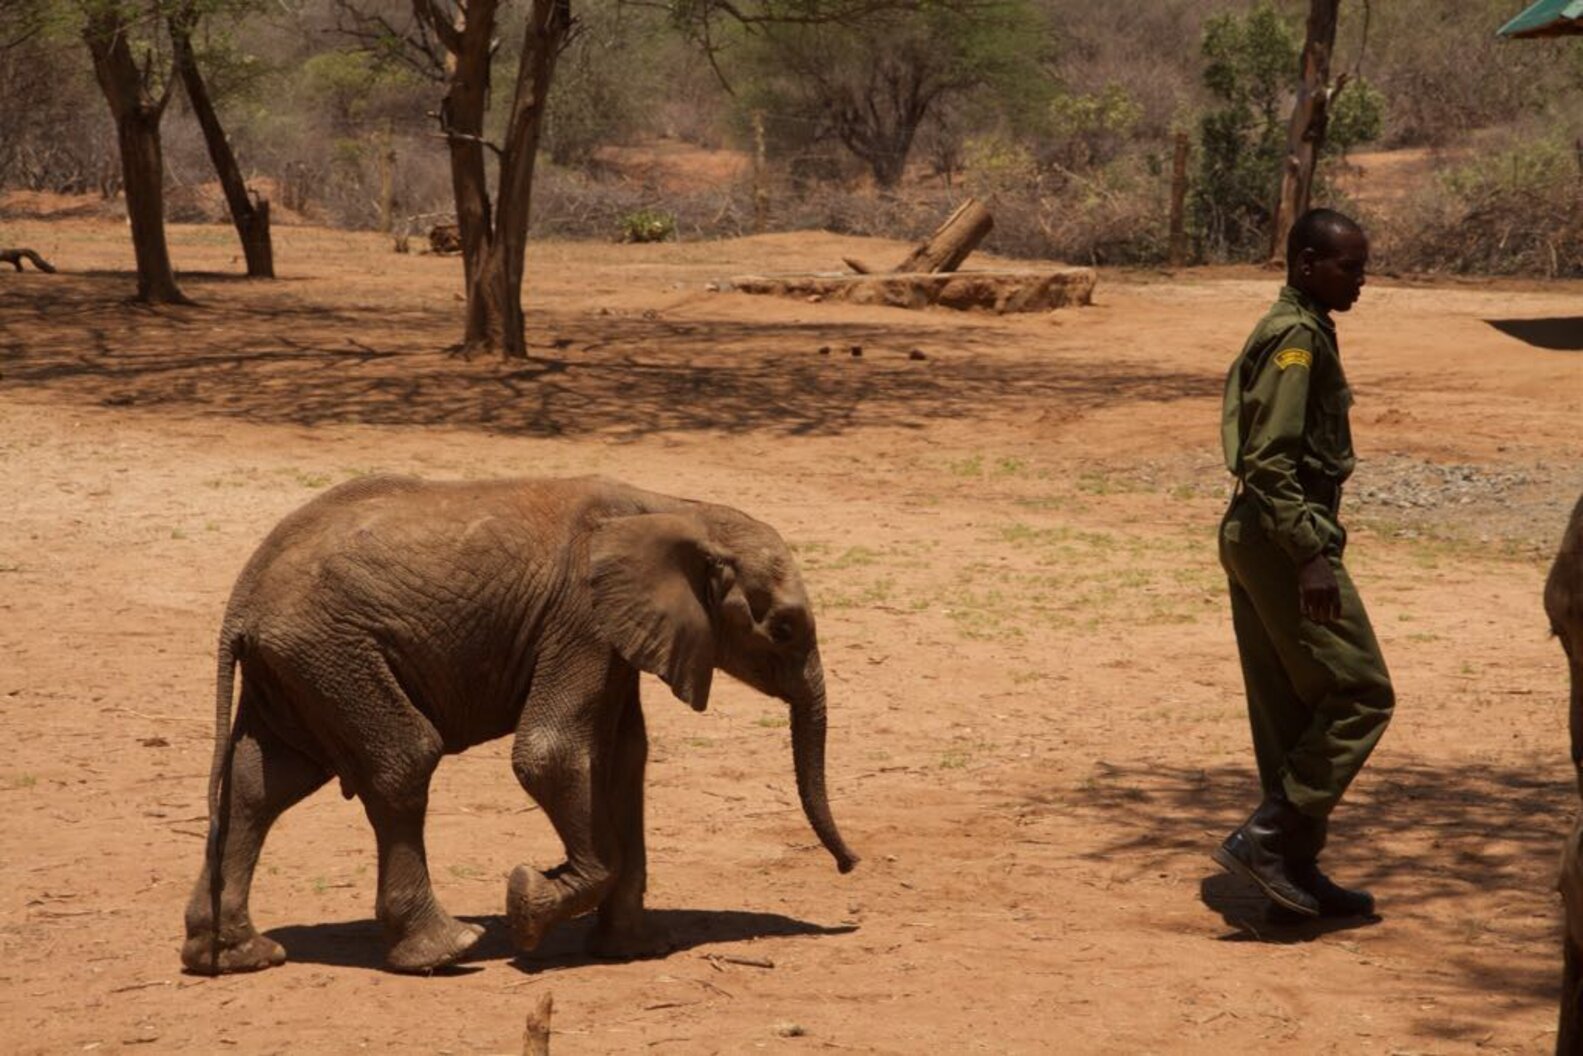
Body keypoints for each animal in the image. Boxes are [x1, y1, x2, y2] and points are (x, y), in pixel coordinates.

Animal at [180, 475, 858, 976]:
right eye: (785, 628)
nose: (849, 866)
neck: (679, 510)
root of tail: (241, 600)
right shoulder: (580, 617)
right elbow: (552, 755)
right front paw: (528, 903)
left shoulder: (614, 636)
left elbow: (623, 759)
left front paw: (634, 950)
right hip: (332, 655)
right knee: (403, 759)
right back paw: (449, 950)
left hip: (298, 668)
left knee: (259, 784)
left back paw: (235, 956)